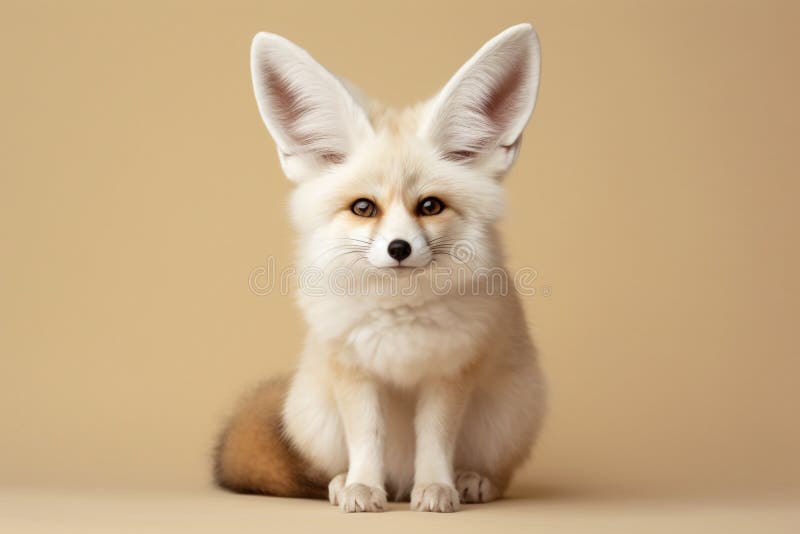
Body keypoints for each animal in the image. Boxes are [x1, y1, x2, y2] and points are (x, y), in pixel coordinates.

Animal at [214, 23, 547, 513]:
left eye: (430, 206)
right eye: (364, 208)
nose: (399, 248)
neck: (398, 319)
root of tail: (400, 480)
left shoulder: (450, 370)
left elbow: (435, 440)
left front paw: (437, 488)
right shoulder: (353, 370)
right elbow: (366, 438)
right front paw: (361, 488)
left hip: (508, 414)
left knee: (497, 473)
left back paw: (470, 481)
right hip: (313, 414)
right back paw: (342, 483)